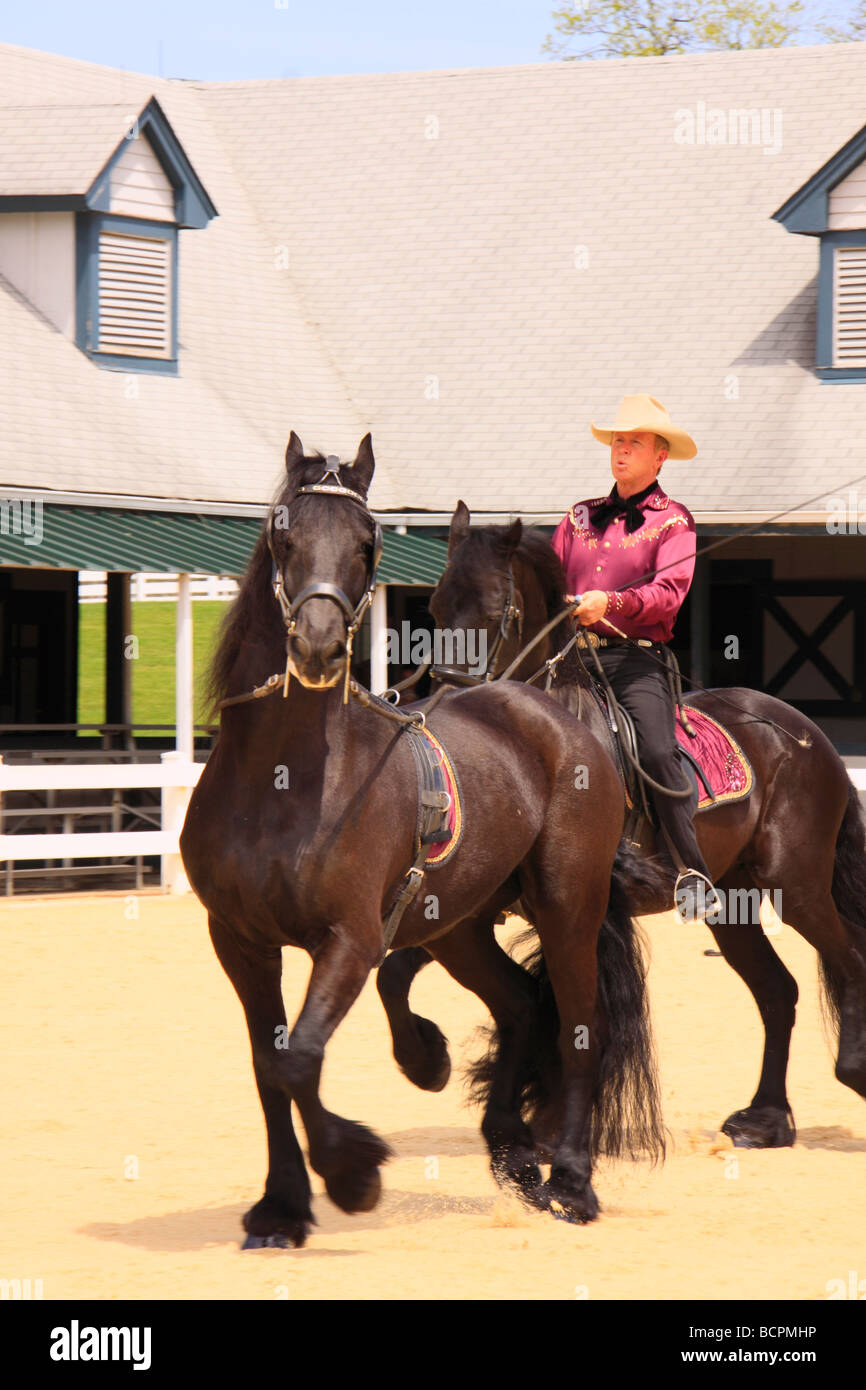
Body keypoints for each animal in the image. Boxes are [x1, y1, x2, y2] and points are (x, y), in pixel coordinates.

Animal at [180, 437, 665, 1246]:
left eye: (368, 544)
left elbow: (299, 1059)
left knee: (580, 1023)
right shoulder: (239, 942)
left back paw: (570, 1180)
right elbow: (268, 1067)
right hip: (460, 923)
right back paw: (511, 1148)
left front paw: (353, 1172)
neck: (285, 782)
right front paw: (281, 1206)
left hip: (568, 908)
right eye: (283, 535)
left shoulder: (349, 939)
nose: (316, 648)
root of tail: (560, 719)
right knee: (522, 1003)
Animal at [377, 501, 866, 1149]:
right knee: (777, 991)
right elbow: (395, 973)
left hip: (798, 886)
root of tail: (809, 736)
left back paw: (850, 1071)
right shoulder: (476, 903)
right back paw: (765, 1119)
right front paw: (428, 1062)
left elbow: (583, 1014)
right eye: (431, 609)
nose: (448, 702)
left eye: (497, 609)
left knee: (847, 959)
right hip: (733, 900)